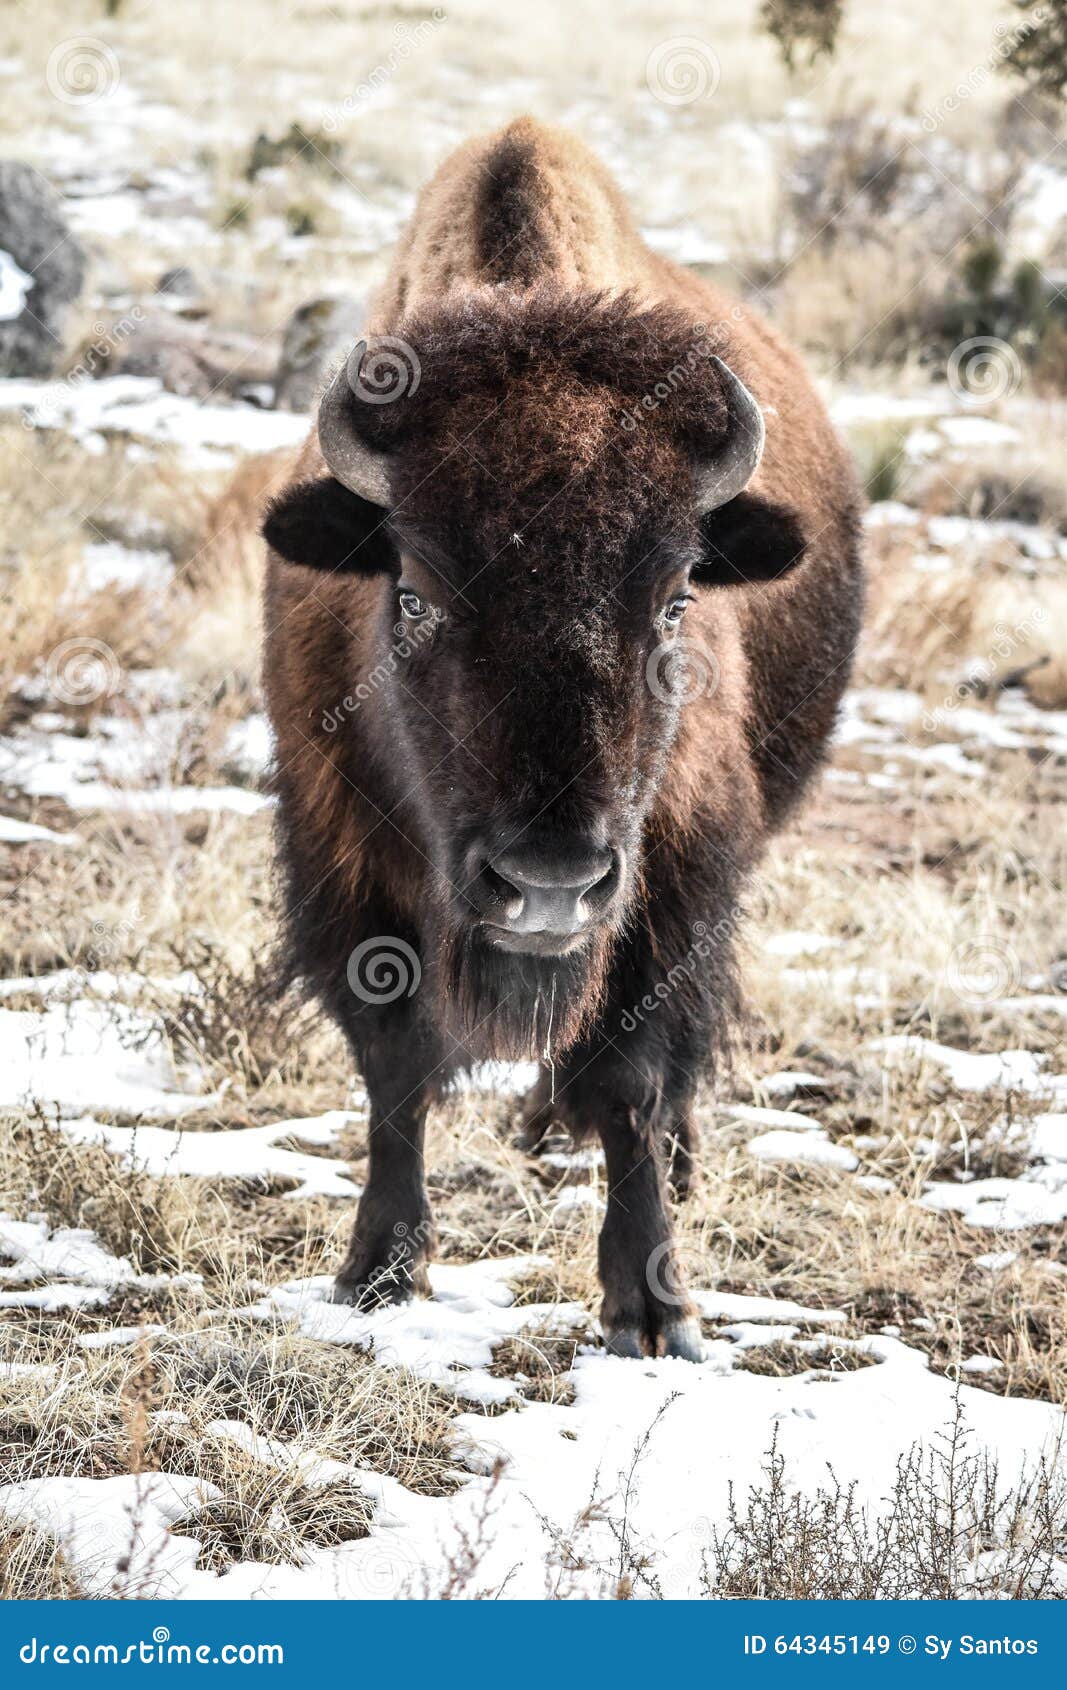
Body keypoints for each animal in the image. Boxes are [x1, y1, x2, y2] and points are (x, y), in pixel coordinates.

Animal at [262, 117, 864, 1359]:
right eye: (413, 591)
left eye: (678, 598)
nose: (546, 884)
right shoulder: (342, 860)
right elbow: (392, 1064)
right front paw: (377, 1270)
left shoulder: (671, 878)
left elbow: (632, 1072)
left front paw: (652, 1309)